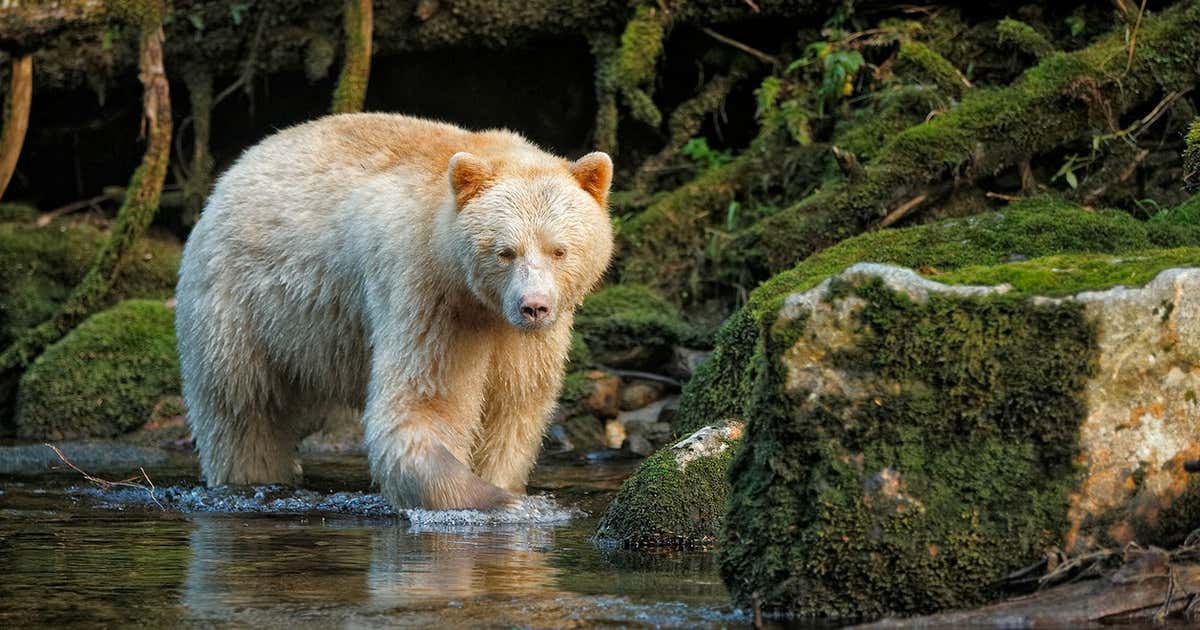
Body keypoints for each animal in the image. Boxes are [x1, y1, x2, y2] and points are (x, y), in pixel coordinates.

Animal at [175, 113, 614, 510]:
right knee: (241, 410)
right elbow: (423, 403)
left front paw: (505, 485)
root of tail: (231, 174)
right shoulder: (429, 295)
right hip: (240, 303)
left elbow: (514, 409)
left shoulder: (523, 340)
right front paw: (494, 500)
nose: (533, 307)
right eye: (505, 251)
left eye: (559, 250)